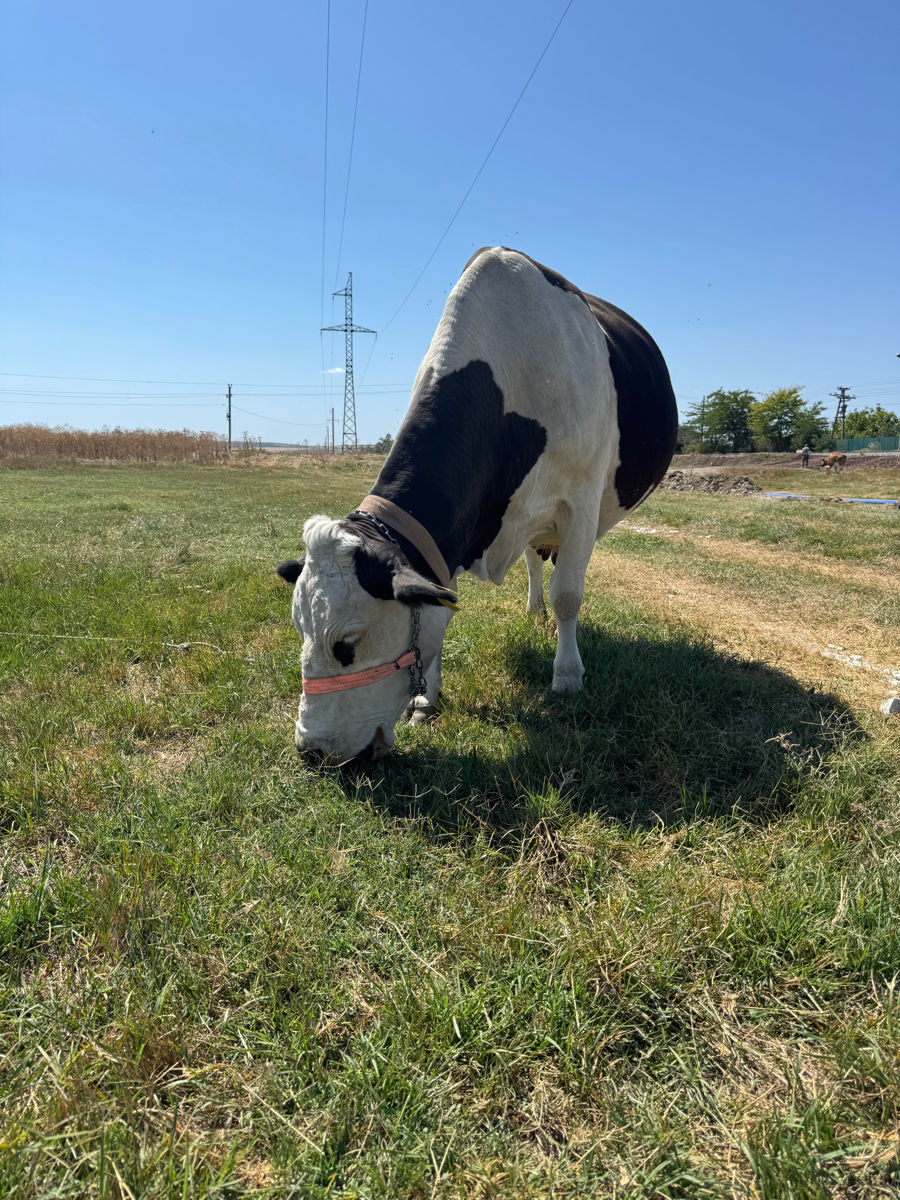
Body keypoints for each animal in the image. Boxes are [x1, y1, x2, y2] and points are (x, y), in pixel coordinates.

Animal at [277, 247, 677, 763]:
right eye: (298, 629)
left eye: (347, 642)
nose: (312, 750)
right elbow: (442, 609)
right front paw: (426, 700)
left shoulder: (581, 502)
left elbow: (568, 596)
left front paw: (568, 678)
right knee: (534, 562)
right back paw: (532, 611)